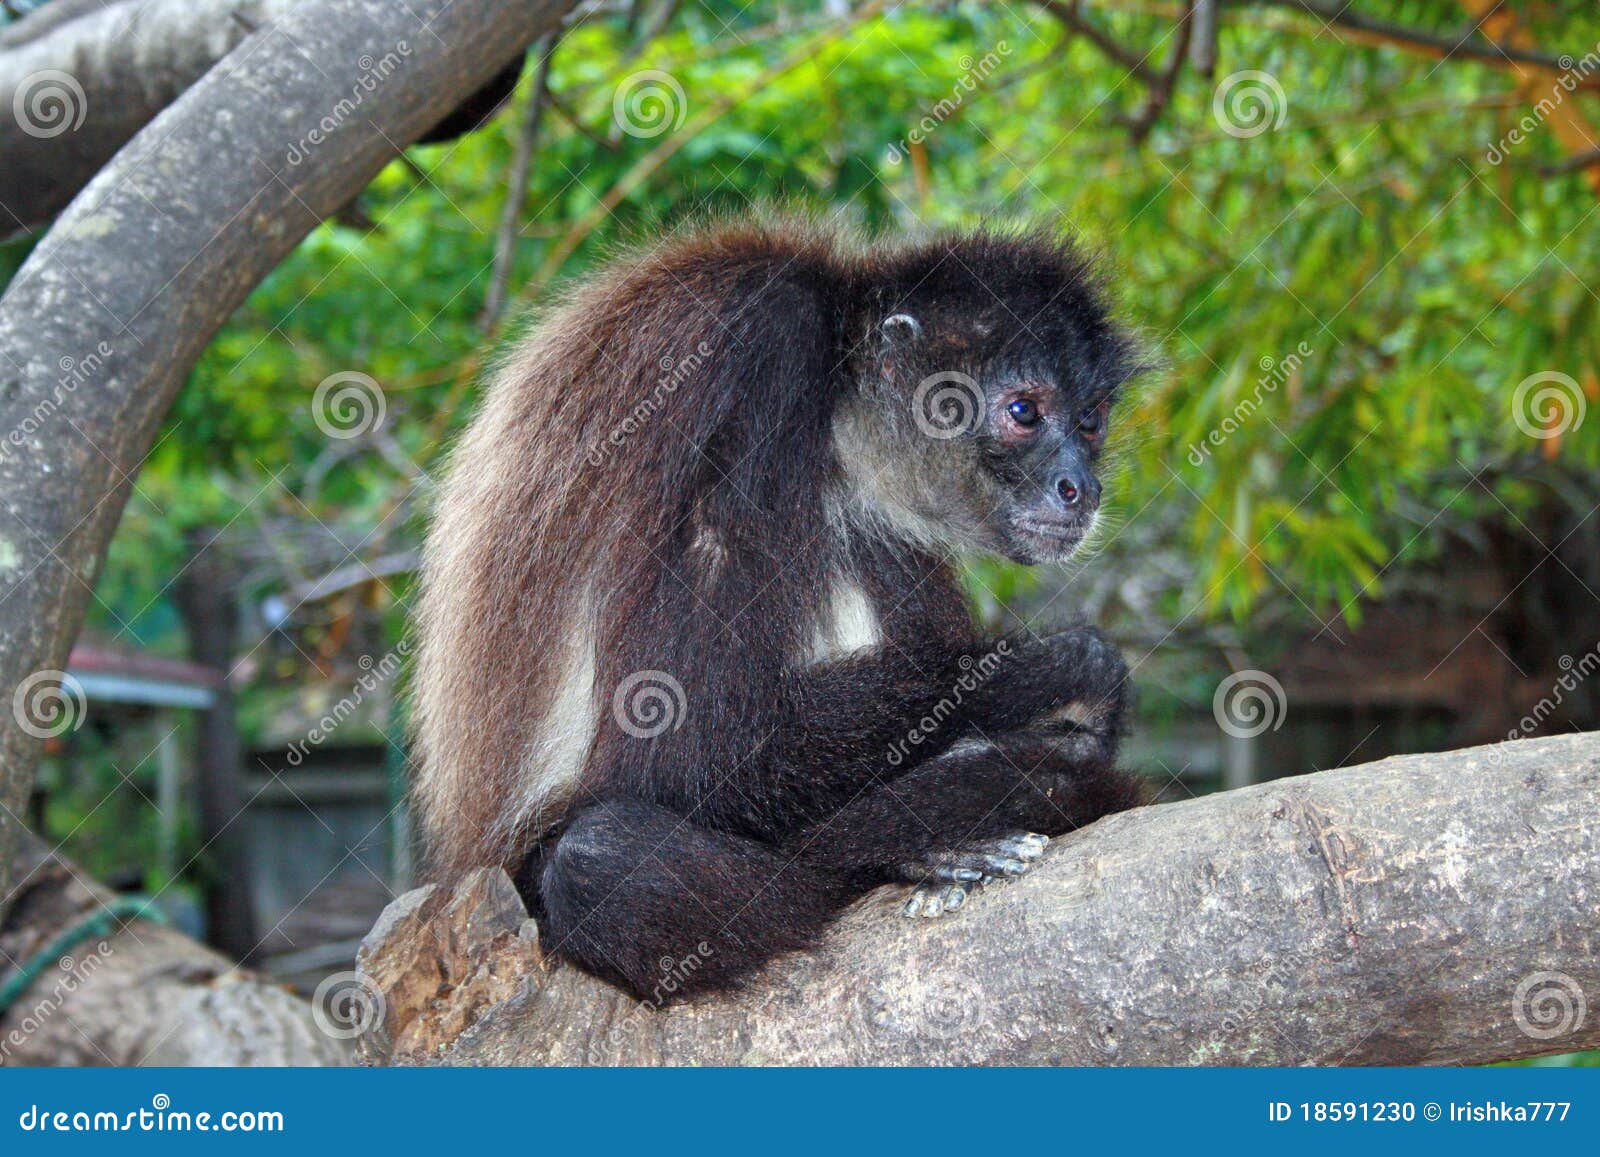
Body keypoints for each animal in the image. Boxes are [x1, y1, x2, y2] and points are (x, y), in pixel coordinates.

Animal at [412, 217, 1150, 1003]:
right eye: (1023, 413)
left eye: (1092, 422)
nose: (1081, 486)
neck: (836, 384)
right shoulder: (759, 353)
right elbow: (694, 753)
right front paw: (1066, 671)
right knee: (595, 858)